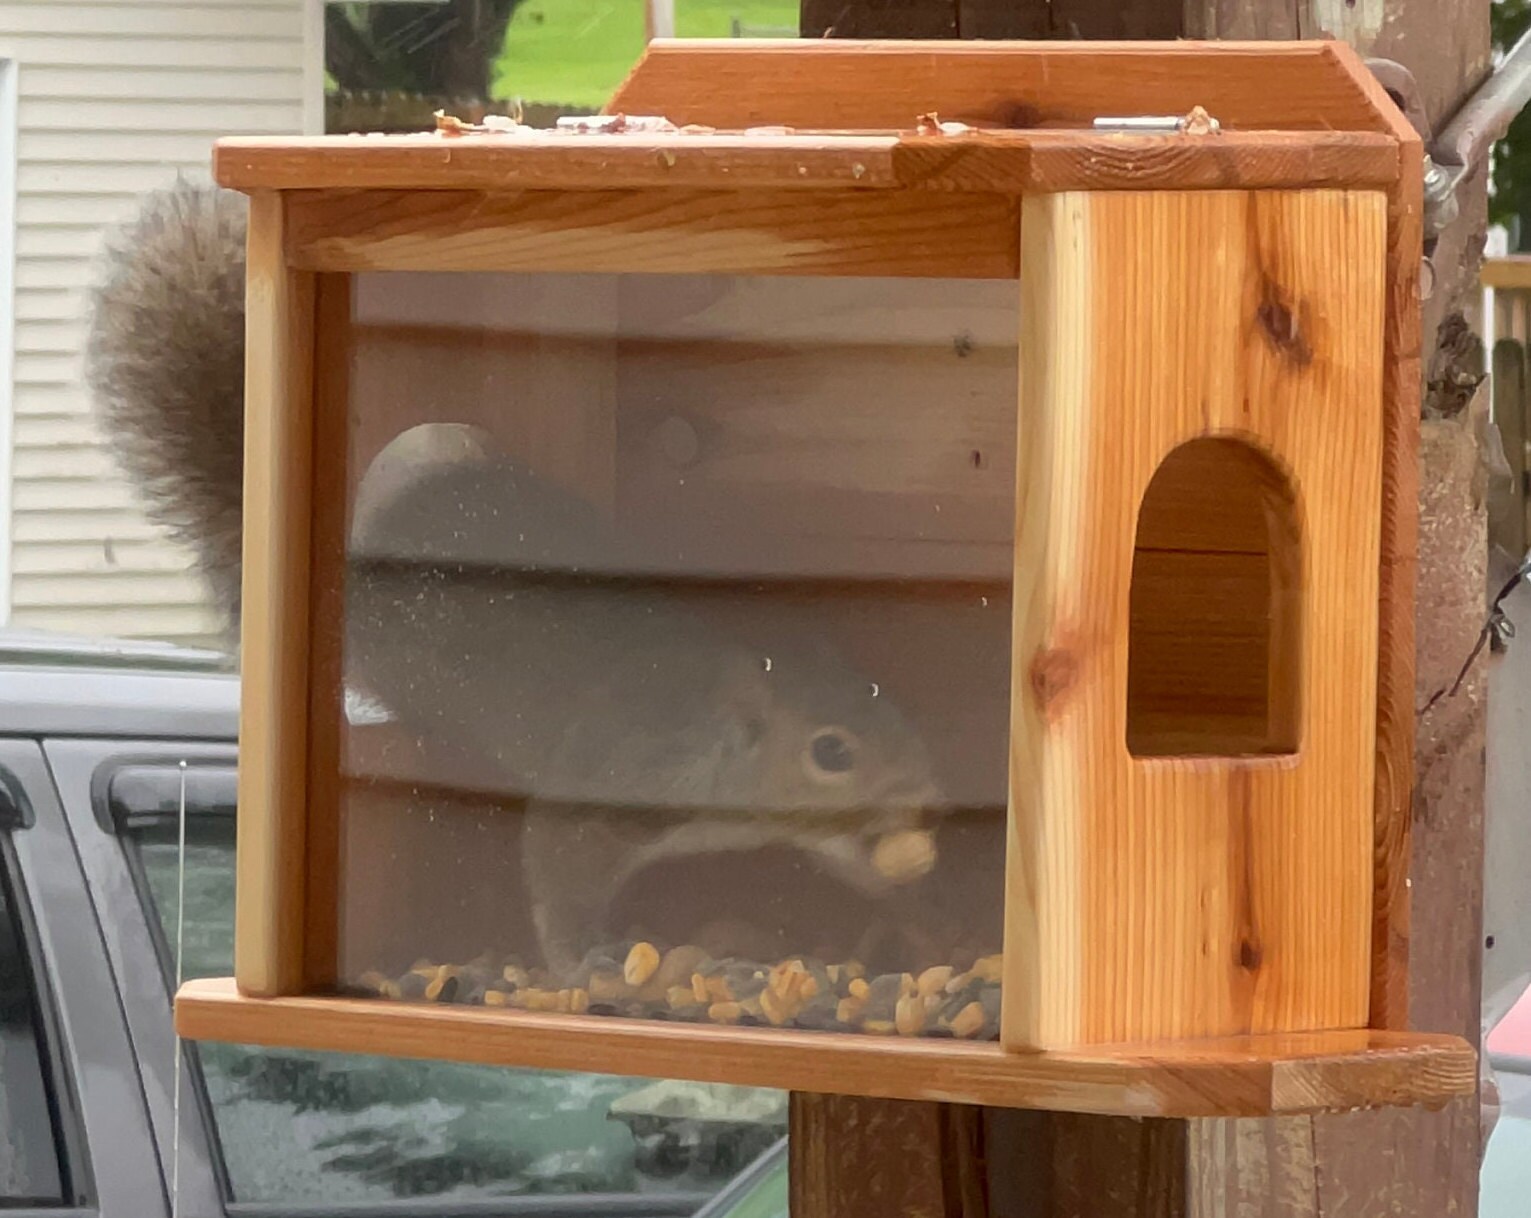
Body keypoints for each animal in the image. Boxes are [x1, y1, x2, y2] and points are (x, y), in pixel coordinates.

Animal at [84, 179, 947, 979]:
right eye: (830, 751)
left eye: (883, 697)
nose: (925, 788)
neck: (708, 732)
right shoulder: (613, 778)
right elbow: (554, 862)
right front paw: (579, 963)